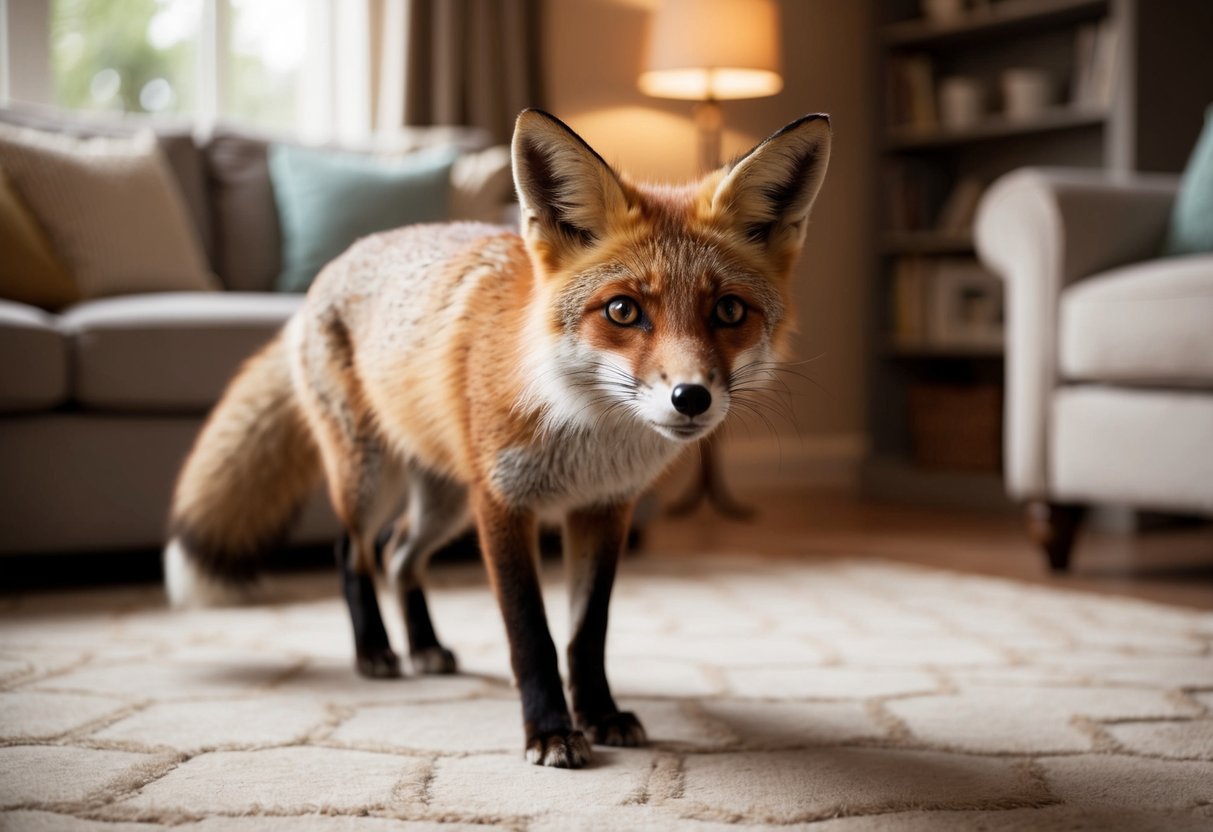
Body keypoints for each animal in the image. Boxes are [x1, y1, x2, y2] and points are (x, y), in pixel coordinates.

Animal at [165, 109, 831, 768]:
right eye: (622, 311)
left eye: (728, 312)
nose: (690, 398)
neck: (582, 434)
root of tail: (329, 271)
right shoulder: (504, 504)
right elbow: (531, 634)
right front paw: (550, 731)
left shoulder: (603, 509)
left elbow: (587, 633)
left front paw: (600, 714)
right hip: (371, 476)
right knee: (353, 552)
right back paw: (376, 652)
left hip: (445, 500)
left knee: (397, 552)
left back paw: (425, 647)